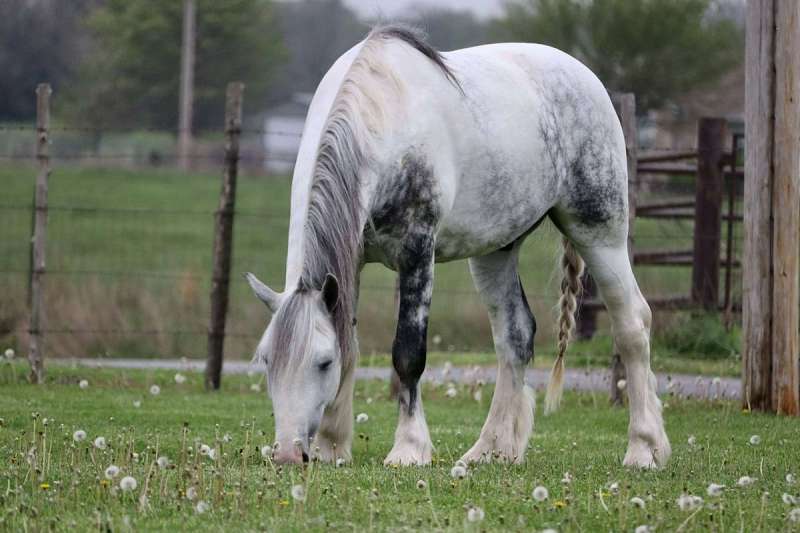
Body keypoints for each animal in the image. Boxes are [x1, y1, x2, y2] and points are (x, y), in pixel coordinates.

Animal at [246, 24, 670, 468]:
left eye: (323, 362)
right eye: (266, 361)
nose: (289, 453)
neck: (383, 113)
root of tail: (587, 79)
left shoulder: (417, 251)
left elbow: (408, 354)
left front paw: (409, 447)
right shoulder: (352, 261)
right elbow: (352, 341)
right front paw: (331, 445)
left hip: (599, 231)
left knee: (633, 324)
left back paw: (644, 447)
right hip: (496, 251)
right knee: (515, 337)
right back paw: (492, 448)